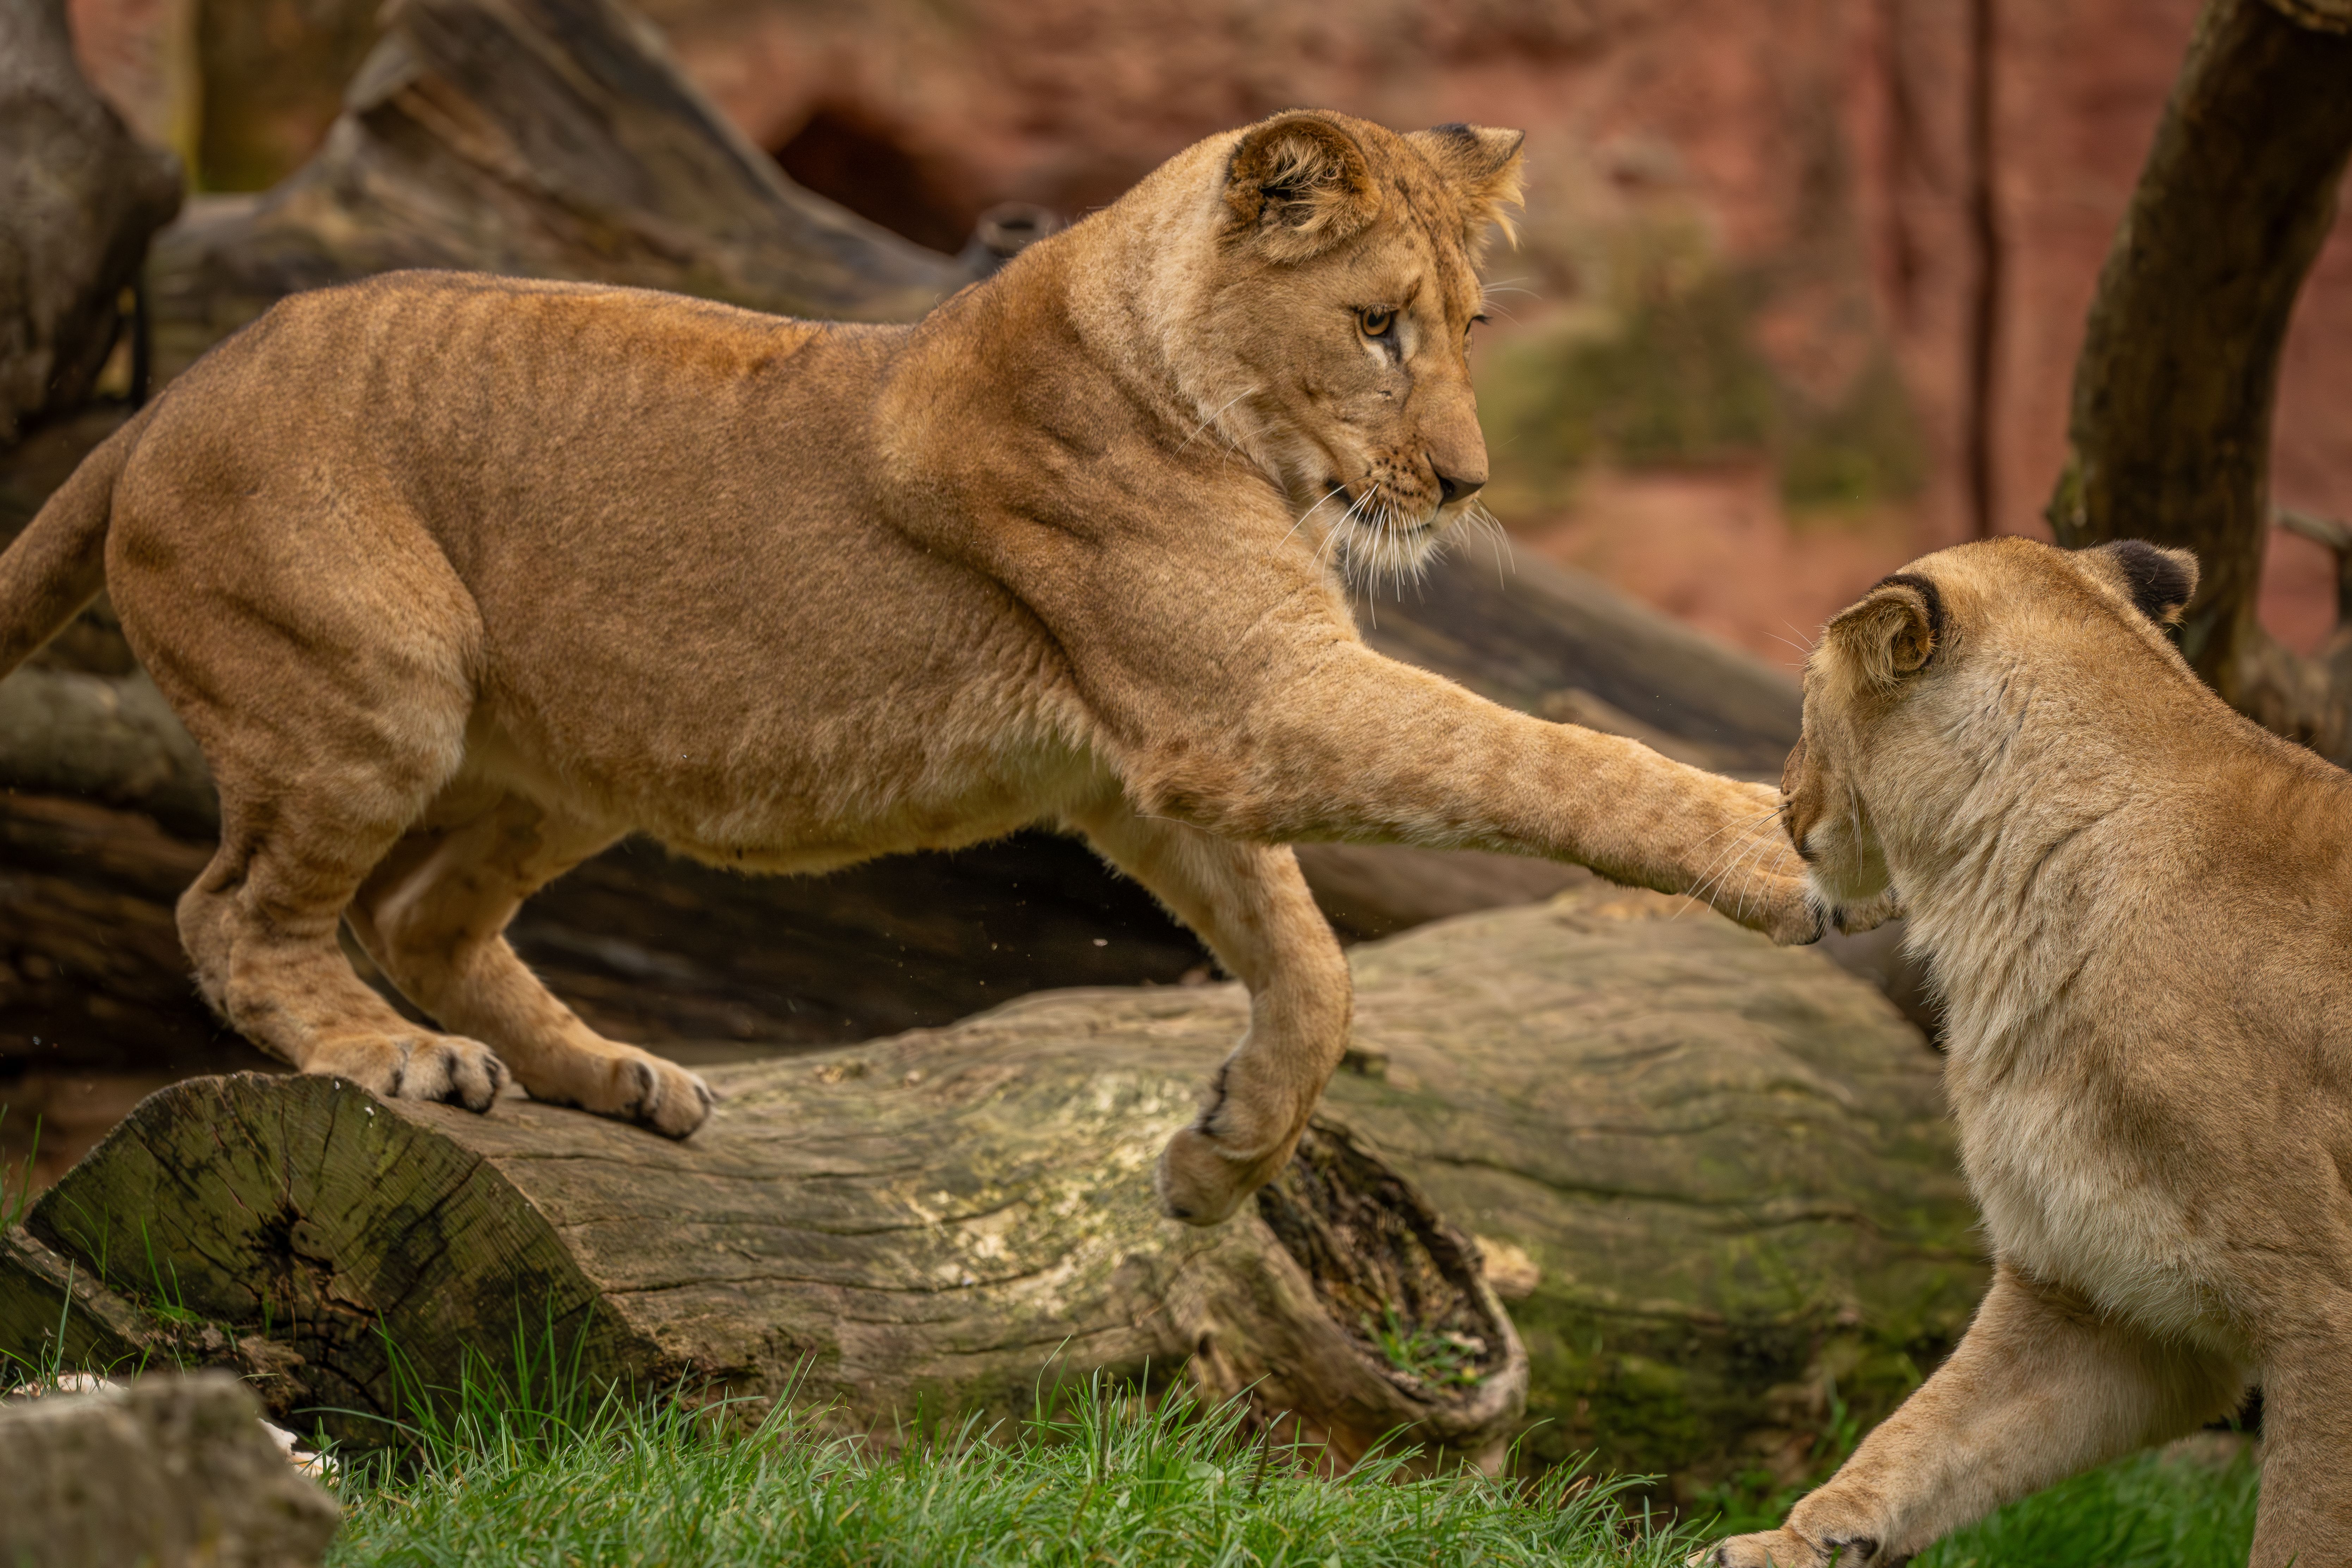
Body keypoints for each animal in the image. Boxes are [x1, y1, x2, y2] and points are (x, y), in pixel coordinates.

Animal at [0, 109, 1825, 1228]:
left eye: (1464, 326)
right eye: (1378, 325)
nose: (1463, 484)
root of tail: (163, 404)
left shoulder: (1151, 768)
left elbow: (1311, 965)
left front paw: (1219, 1162)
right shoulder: (1250, 706)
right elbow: (1540, 759)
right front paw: (1769, 848)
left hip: (574, 753)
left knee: (420, 911)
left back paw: (620, 1078)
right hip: (378, 684)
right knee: (235, 911)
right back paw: (390, 1057)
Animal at [1698, 535, 2352, 1568]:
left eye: (1806, 695)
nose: (1784, 806)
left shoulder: (2323, 1320)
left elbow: (2303, 1532)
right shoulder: (2096, 1300)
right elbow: (1925, 1438)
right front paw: (1784, 1545)